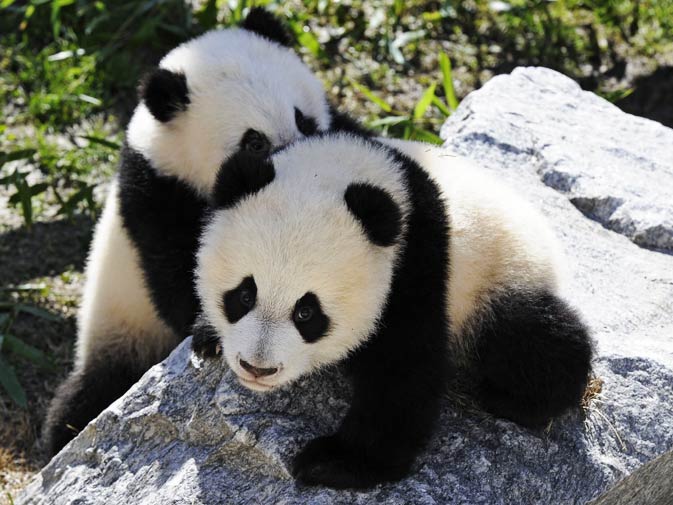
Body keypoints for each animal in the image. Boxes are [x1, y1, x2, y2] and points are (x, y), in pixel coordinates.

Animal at [43, 8, 367, 456]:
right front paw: (210, 330)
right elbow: (181, 273)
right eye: (254, 141)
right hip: (121, 332)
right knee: (83, 400)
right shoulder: (157, 194)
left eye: (303, 118)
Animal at [192, 133, 594, 489]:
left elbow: (403, 372)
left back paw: (516, 399)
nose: (257, 368)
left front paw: (336, 463)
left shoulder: (412, 270)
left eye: (306, 313)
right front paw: (208, 336)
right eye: (244, 295)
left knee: (534, 340)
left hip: (498, 281)